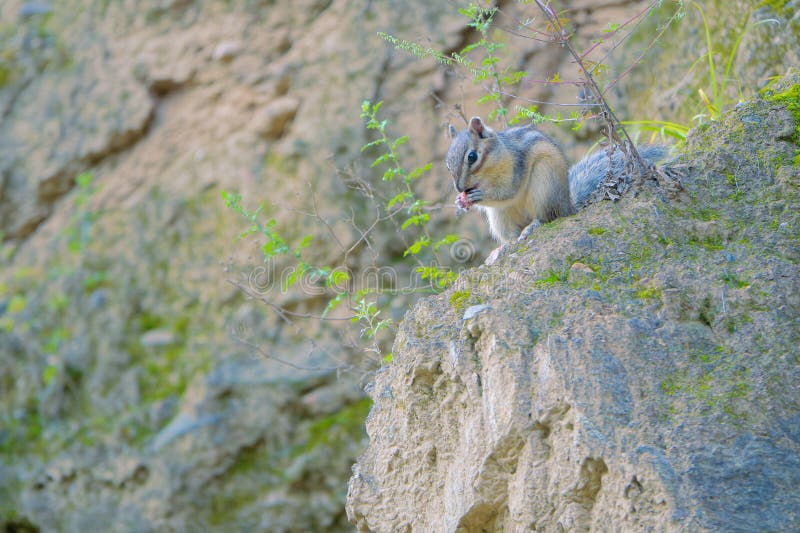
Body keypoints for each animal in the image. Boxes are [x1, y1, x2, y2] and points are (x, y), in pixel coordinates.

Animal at [446, 116, 667, 245]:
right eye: (448, 165)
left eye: (472, 157)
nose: (459, 187)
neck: (487, 173)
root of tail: (568, 206)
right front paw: (460, 201)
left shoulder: (515, 166)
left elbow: (508, 191)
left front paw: (479, 195)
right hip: (500, 218)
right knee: (511, 238)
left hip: (543, 187)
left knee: (547, 218)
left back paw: (532, 227)